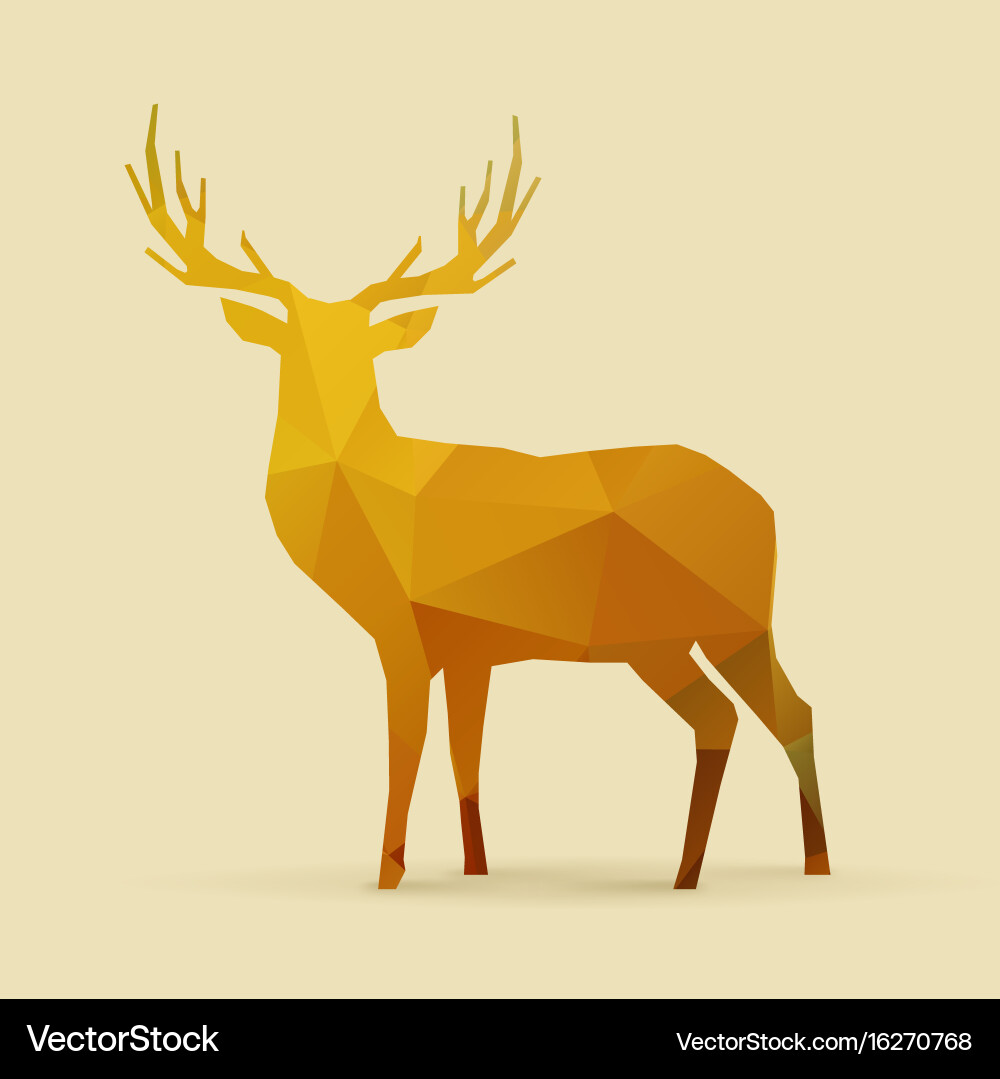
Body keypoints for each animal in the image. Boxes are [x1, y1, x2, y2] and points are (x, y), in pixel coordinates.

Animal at [127, 105, 829, 891]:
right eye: (293, 345)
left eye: (364, 347)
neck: (375, 502)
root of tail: (767, 510)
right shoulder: (474, 651)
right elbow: (467, 757)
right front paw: (475, 867)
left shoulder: (403, 631)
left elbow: (406, 750)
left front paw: (389, 873)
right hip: (715, 632)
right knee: (774, 711)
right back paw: (778, 865)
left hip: (691, 633)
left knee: (745, 717)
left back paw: (714, 872)